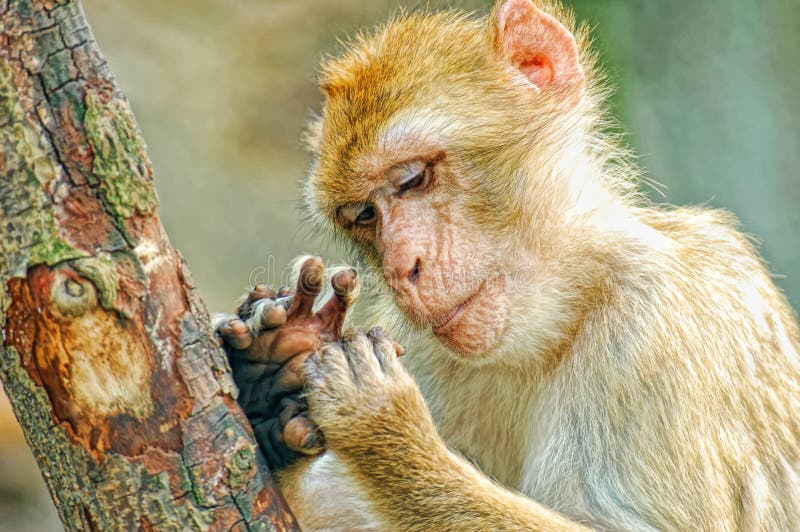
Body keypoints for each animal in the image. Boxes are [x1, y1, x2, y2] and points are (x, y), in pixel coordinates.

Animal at [215, 0, 800, 529]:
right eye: (364, 215)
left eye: (412, 179)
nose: (404, 269)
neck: (565, 311)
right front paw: (272, 369)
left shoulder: (651, 326)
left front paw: (387, 434)